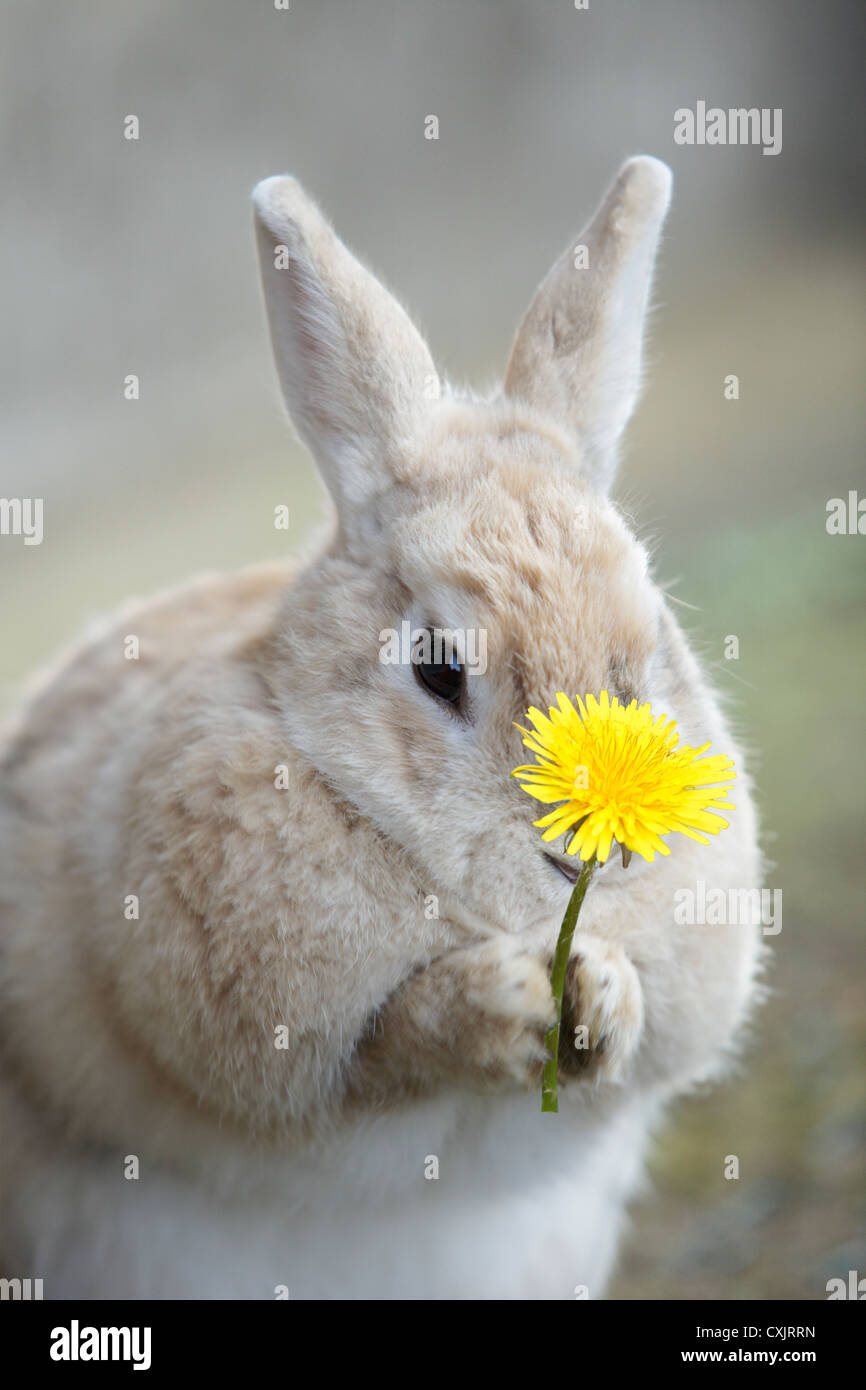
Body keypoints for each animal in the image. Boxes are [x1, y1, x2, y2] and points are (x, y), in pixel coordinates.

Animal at [0, 155, 764, 1300]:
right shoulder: (275, 1040)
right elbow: (379, 1047)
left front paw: (598, 997)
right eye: (438, 670)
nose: (579, 856)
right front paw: (504, 1002)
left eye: (640, 664)